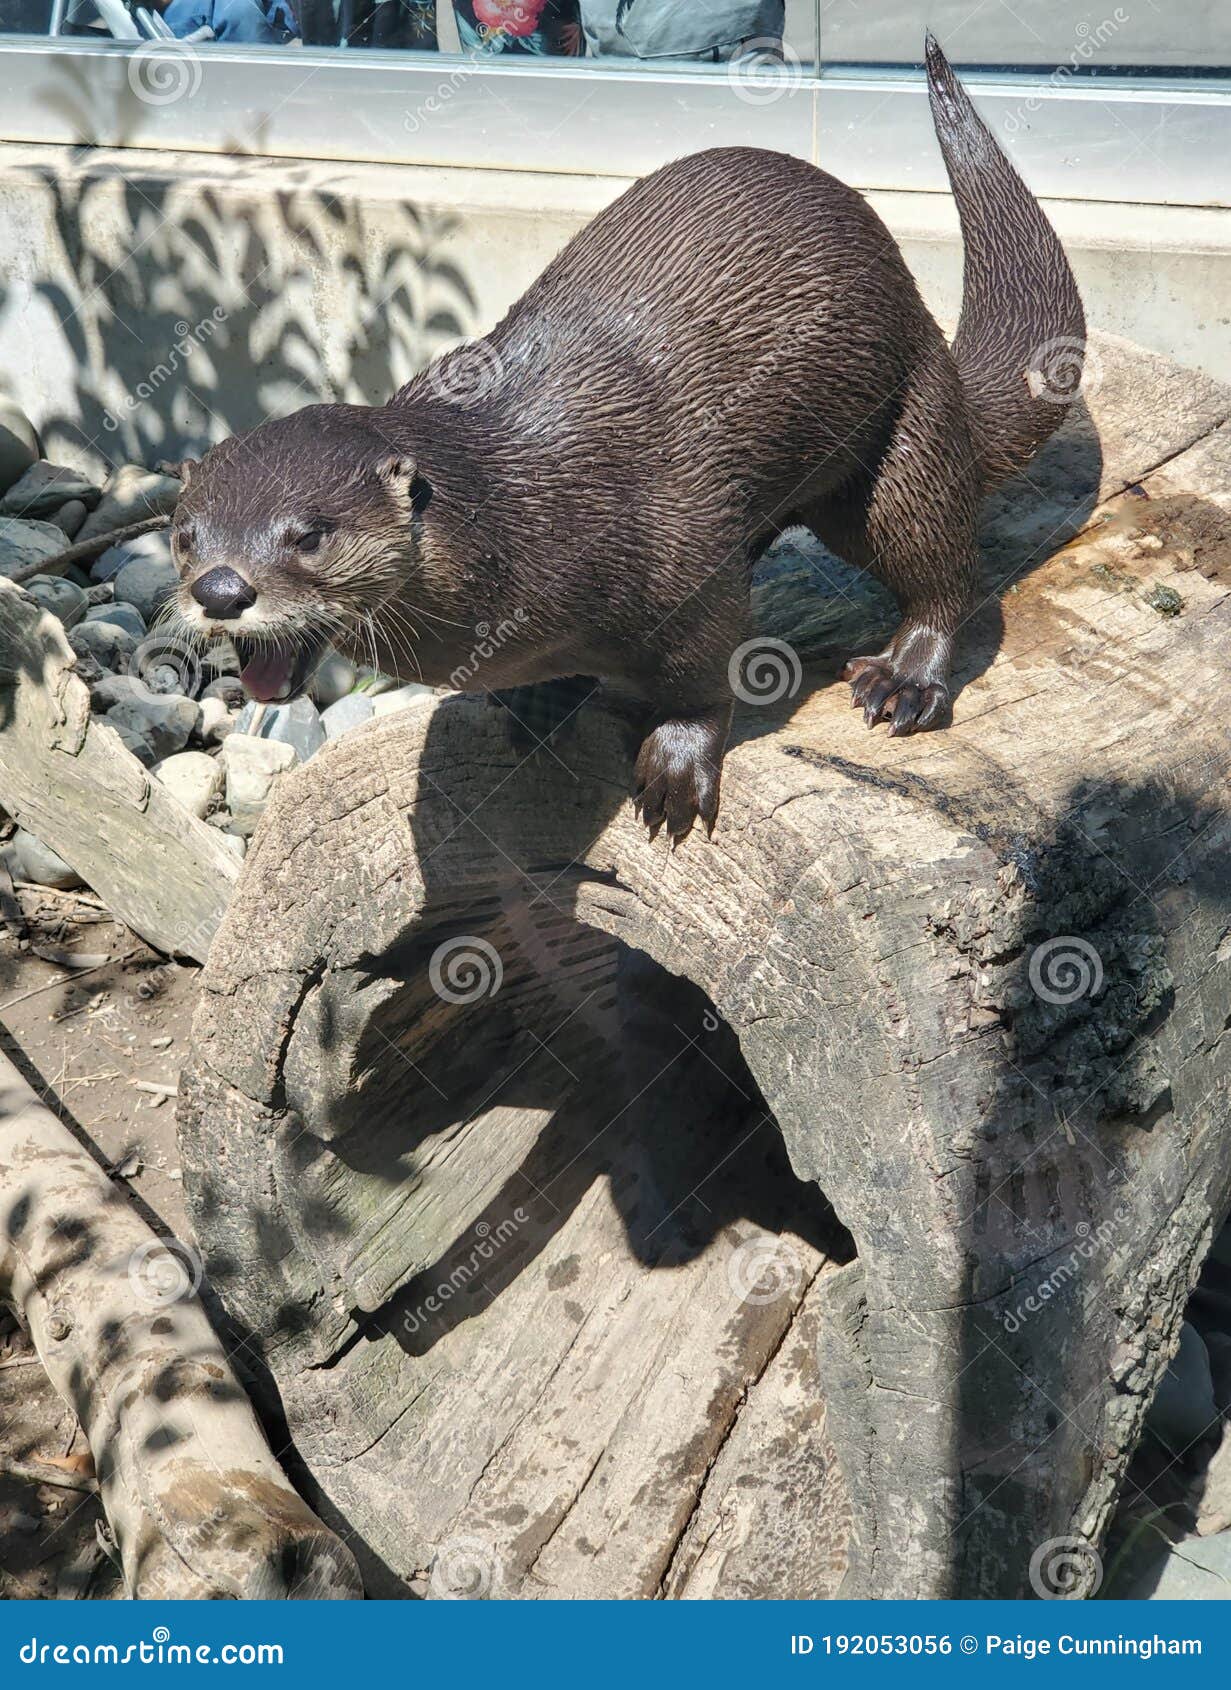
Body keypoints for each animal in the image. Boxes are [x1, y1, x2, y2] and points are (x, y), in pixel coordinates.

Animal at [170, 35, 1084, 844]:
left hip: (899, 439)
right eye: (183, 538)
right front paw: (536, 699)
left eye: (309, 536)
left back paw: (903, 682)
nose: (221, 589)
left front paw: (676, 764)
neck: (522, 509)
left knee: (944, 569)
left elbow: (705, 675)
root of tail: (933, 336)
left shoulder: (682, 555)